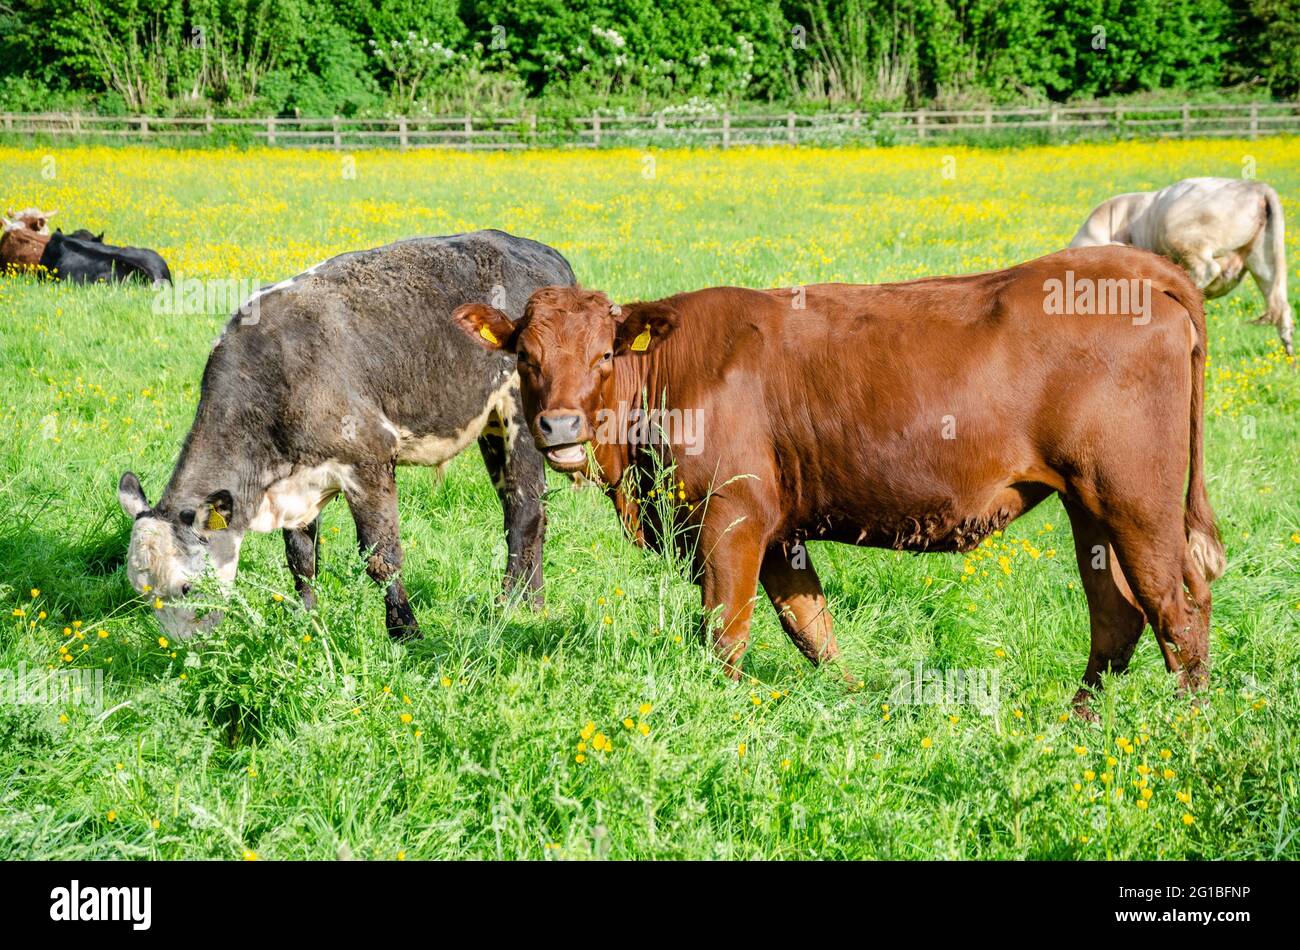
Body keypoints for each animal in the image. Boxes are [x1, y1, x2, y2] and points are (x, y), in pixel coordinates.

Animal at [117, 230, 575, 640]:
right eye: (142, 594)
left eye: (186, 587)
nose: (184, 650)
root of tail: (540, 250)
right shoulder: (297, 484)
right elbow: (301, 559)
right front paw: (309, 622)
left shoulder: (369, 460)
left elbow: (382, 557)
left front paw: (405, 633)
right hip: (492, 425)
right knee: (526, 509)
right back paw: (534, 604)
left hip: (520, 415)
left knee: (525, 509)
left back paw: (510, 604)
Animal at [451, 245, 1225, 716]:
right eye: (526, 356)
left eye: (605, 355)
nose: (557, 426)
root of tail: (1132, 263)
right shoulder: (780, 530)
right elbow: (811, 627)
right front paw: (852, 702)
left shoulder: (732, 513)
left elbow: (725, 631)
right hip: (1090, 503)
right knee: (1118, 614)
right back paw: (1078, 723)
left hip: (1134, 499)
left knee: (1177, 611)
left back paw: (1186, 731)